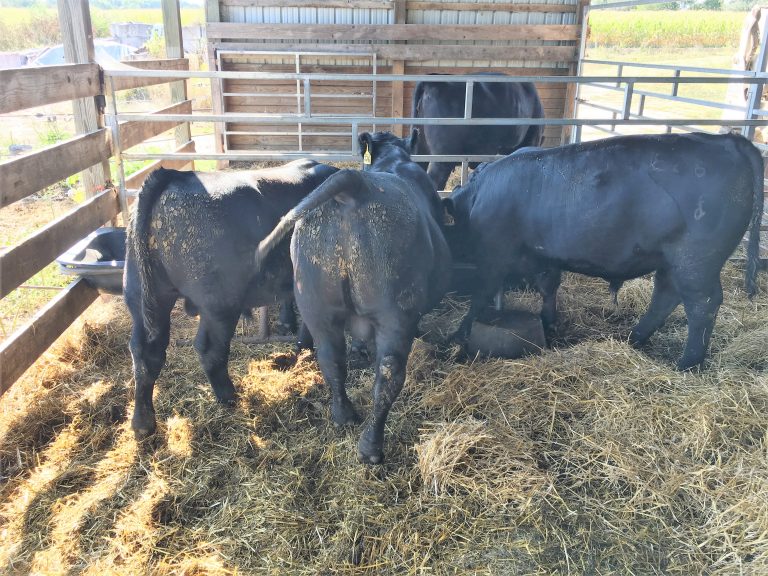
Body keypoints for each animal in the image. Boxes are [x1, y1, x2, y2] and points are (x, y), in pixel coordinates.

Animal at [126, 159, 338, 439]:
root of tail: (172, 176)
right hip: (219, 304)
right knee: (209, 349)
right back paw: (228, 396)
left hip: (143, 297)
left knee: (145, 354)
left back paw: (142, 422)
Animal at [256, 131, 451, 464]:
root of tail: (354, 184)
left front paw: (359, 350)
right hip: (395, 314)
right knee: (388, 374)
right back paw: (371, 448)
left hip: (316, 307)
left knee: (331, 359)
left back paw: (343, 415)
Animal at [444, 132, 764, 371]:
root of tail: (728, 140)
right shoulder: (546, 255)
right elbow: (548, 286)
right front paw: (548, 321)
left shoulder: (493, 254)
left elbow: (481, 294)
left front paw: (460, 332)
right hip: (672, 260)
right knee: (665, 295)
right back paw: (634, 338)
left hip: (695, 261)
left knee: (702, 305)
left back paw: (687, 363)